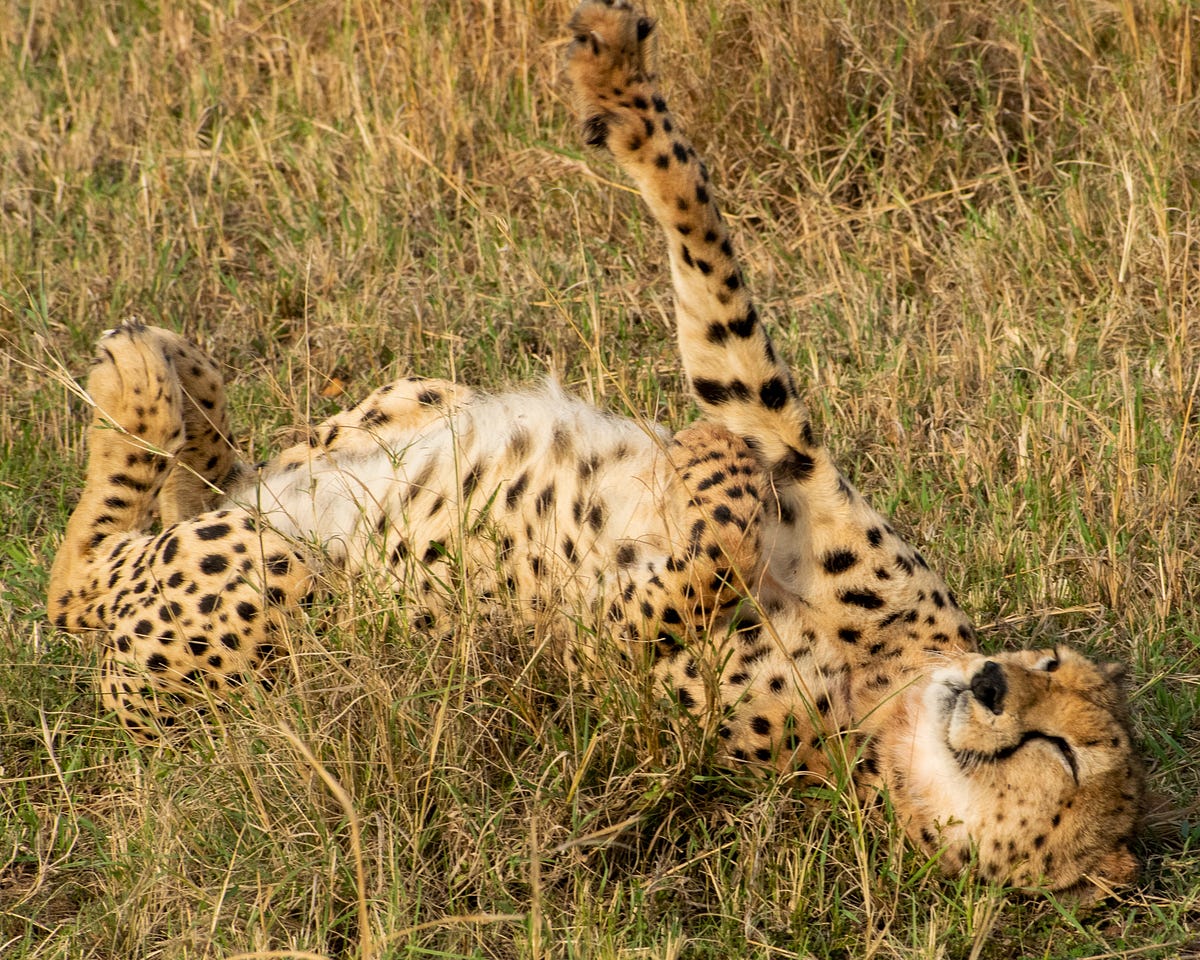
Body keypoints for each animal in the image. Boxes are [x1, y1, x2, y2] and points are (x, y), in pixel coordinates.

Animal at [45, 0, 1143, 897]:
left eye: (1067, 756)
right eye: (1048, 661)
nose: (991, 683)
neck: (886, 702)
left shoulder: (613, 649)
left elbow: (704, 551)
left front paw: (708, 477)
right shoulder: (778, 442)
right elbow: (706, 247)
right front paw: (618, 80)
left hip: (267, 583)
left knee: (84, 576)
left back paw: (136, 384)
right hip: (402, 406)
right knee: (225, 480)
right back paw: (179, 375)